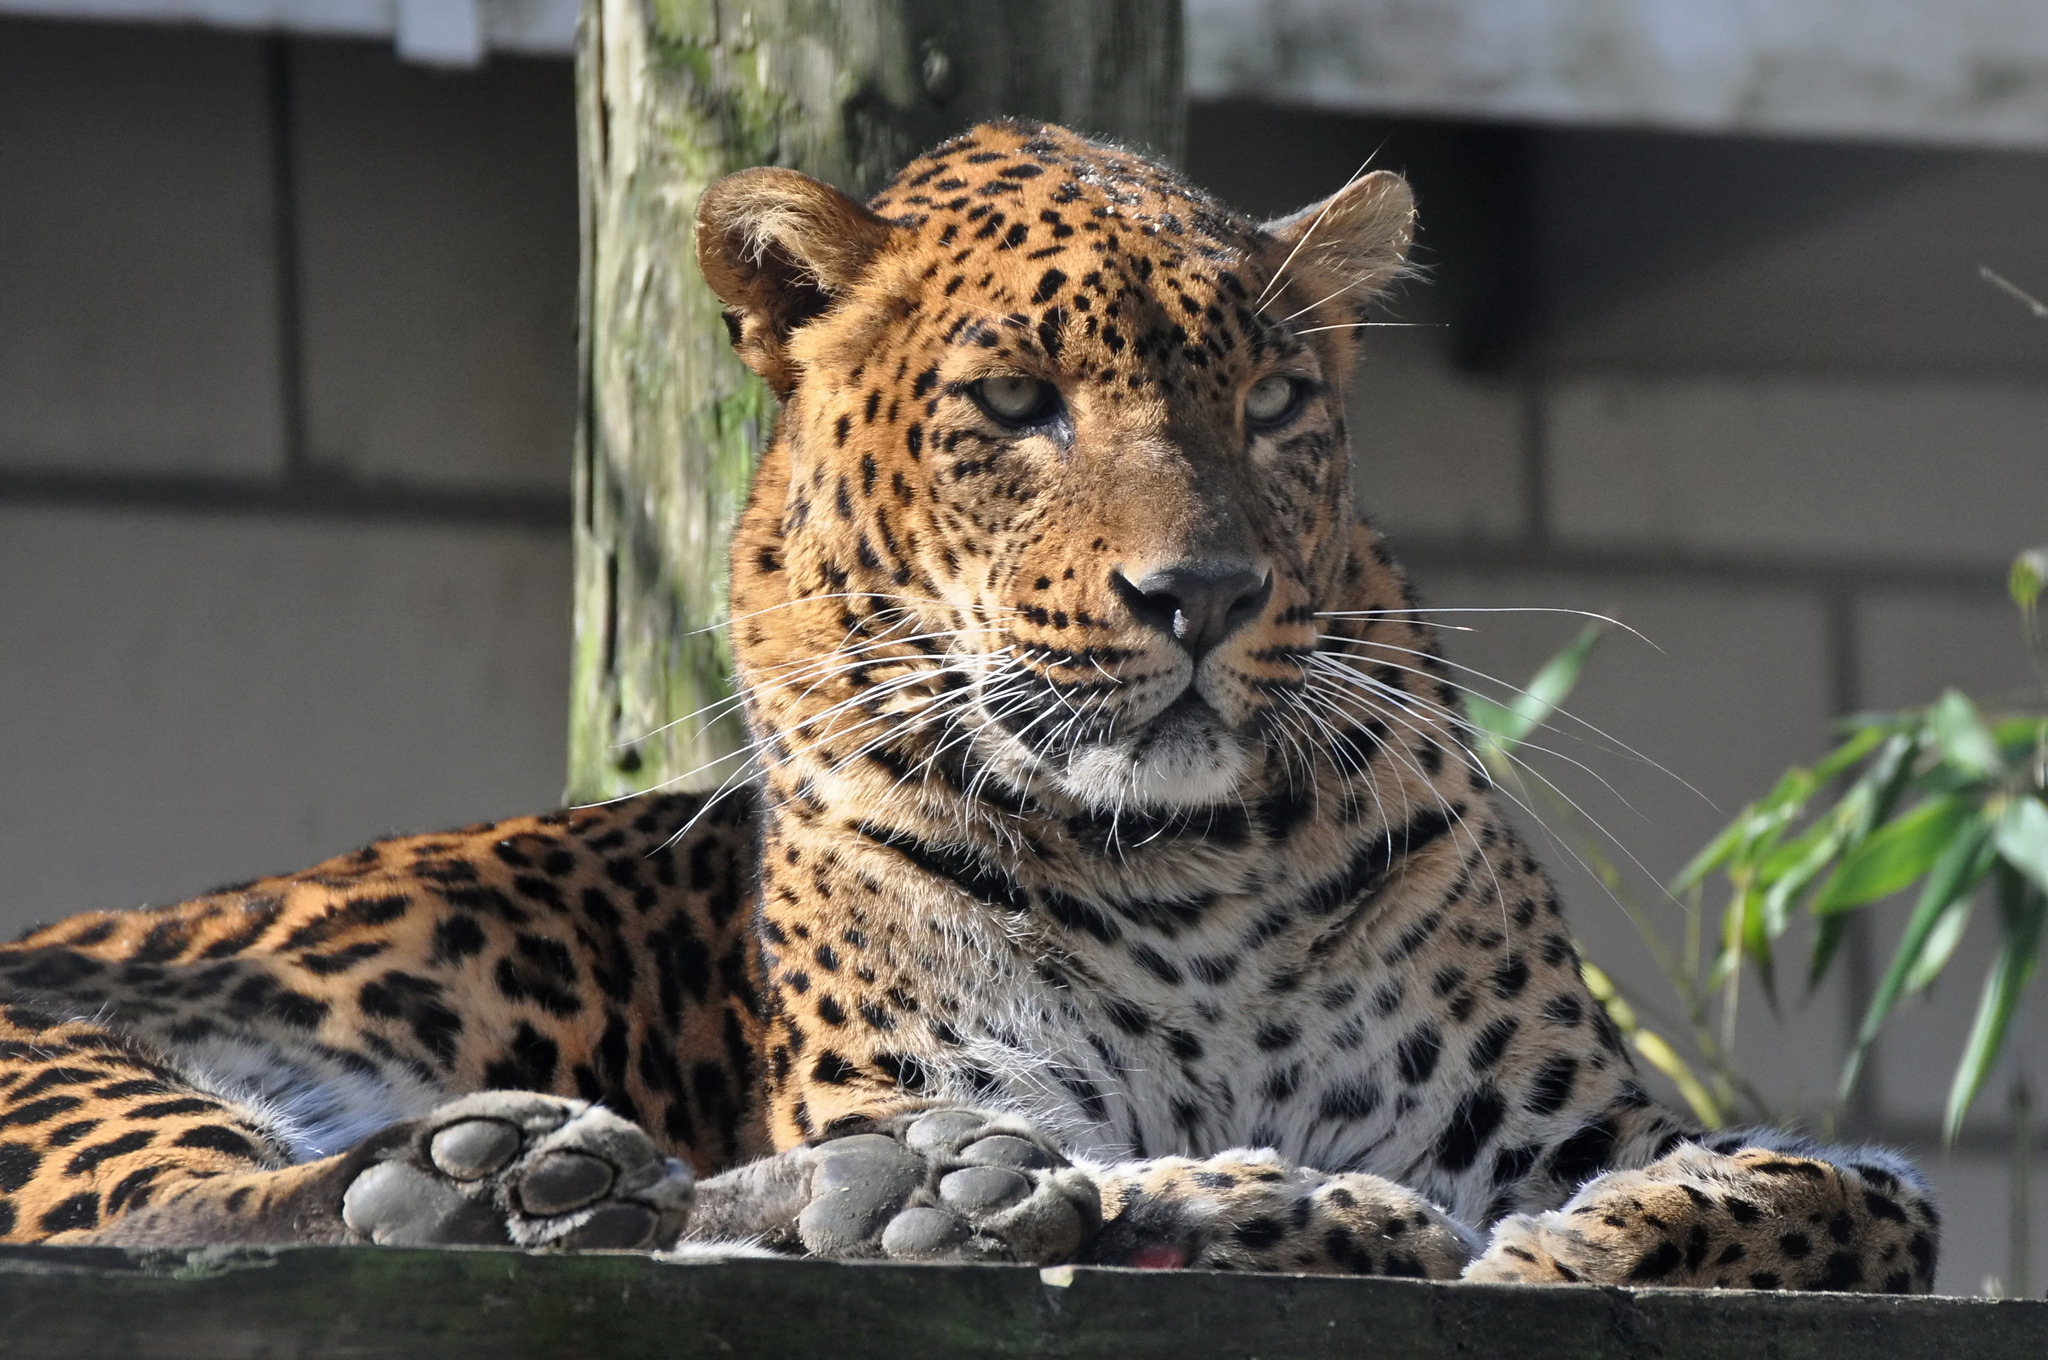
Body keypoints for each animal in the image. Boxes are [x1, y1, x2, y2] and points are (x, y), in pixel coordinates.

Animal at [0, 119, 1937, 1292]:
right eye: (1013, 403)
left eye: (1277, 404)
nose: (1201, 597)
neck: (1186, 865)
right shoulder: (927, 1064)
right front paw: (1318, 1213)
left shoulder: (1577, 1114)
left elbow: (1860, 1194)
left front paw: (1577, 1248)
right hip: (71, 1061)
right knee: (175, 1221)